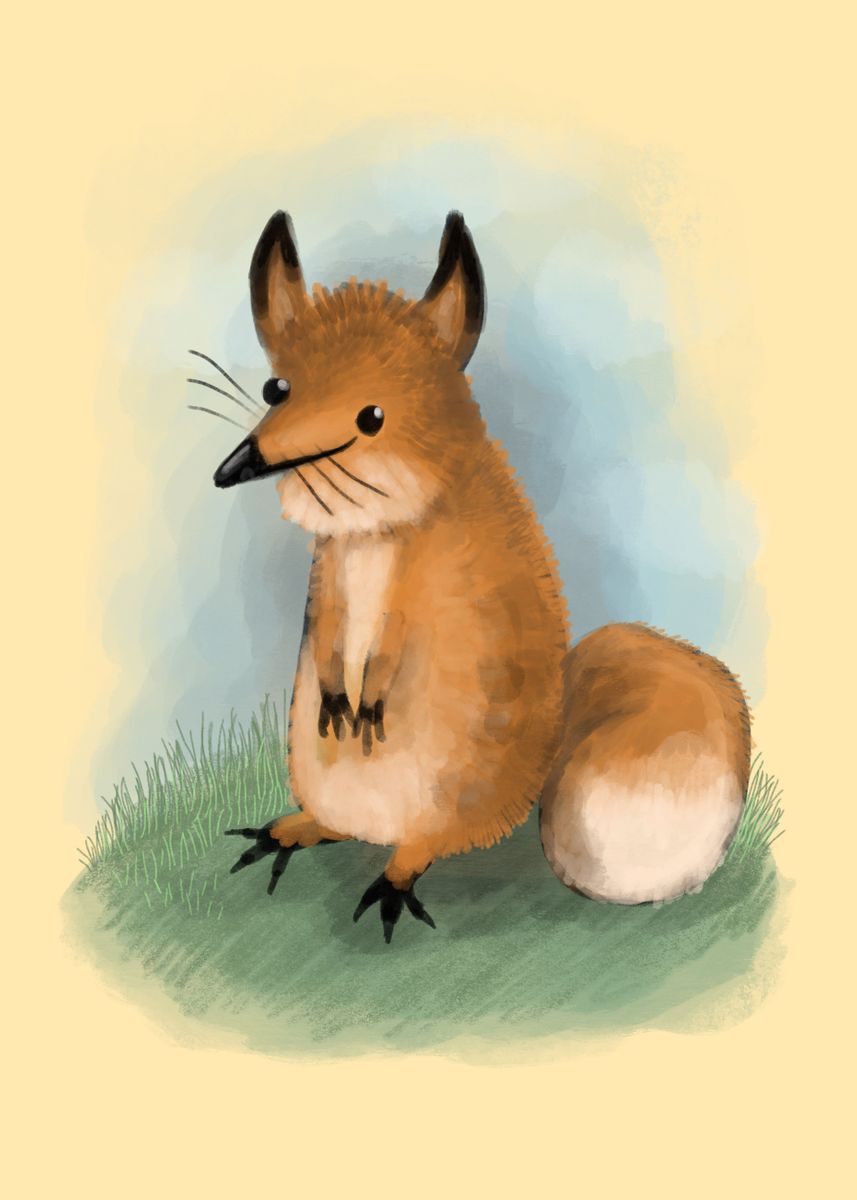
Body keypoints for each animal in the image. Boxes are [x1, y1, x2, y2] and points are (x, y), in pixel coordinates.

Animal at [213, 209, 751, 942]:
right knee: (338, 826)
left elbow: (385, 649)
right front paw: (338, 704)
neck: (367, 532)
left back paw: (390, 885)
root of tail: (533, 780)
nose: (235, 467)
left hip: (441, 799)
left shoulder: (408, 585)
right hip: (319, 775)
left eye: (371, 418)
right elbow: (328, 641)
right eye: (277, 389)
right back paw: (285, 833)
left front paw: (368, 703)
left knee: (423, 846)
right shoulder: (326, 578)